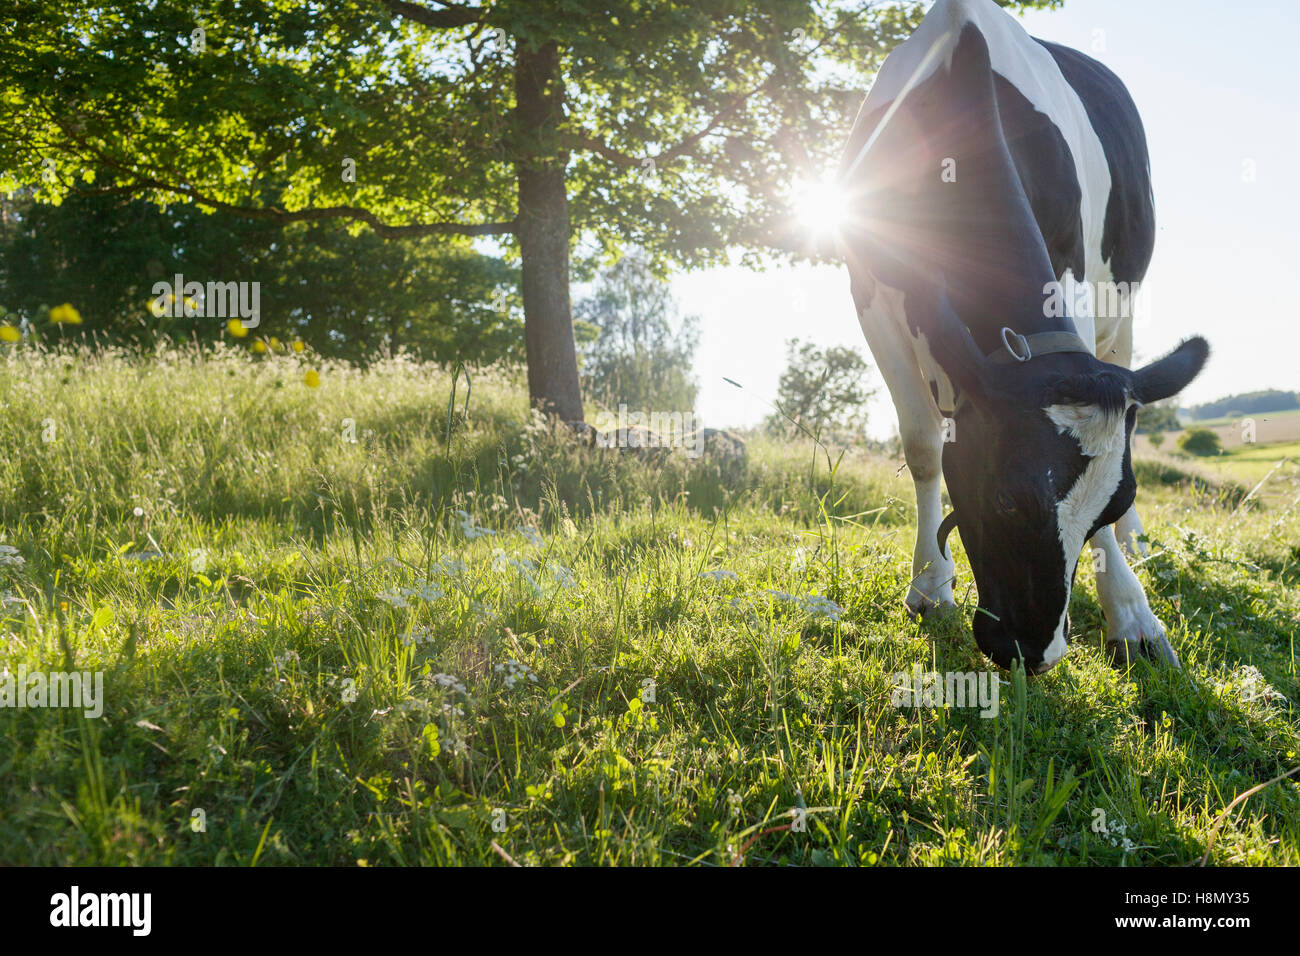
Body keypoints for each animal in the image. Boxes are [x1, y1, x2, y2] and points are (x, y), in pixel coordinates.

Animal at [837, 0, 1208, 674]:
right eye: (1009, 499)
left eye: (1111, 505)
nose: (1033, 652)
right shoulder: (869, 287)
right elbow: (923, 445)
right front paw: (930, 587)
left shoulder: (1077, 284)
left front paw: (1131, 614)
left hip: (1124, 310)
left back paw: (1139, 545)